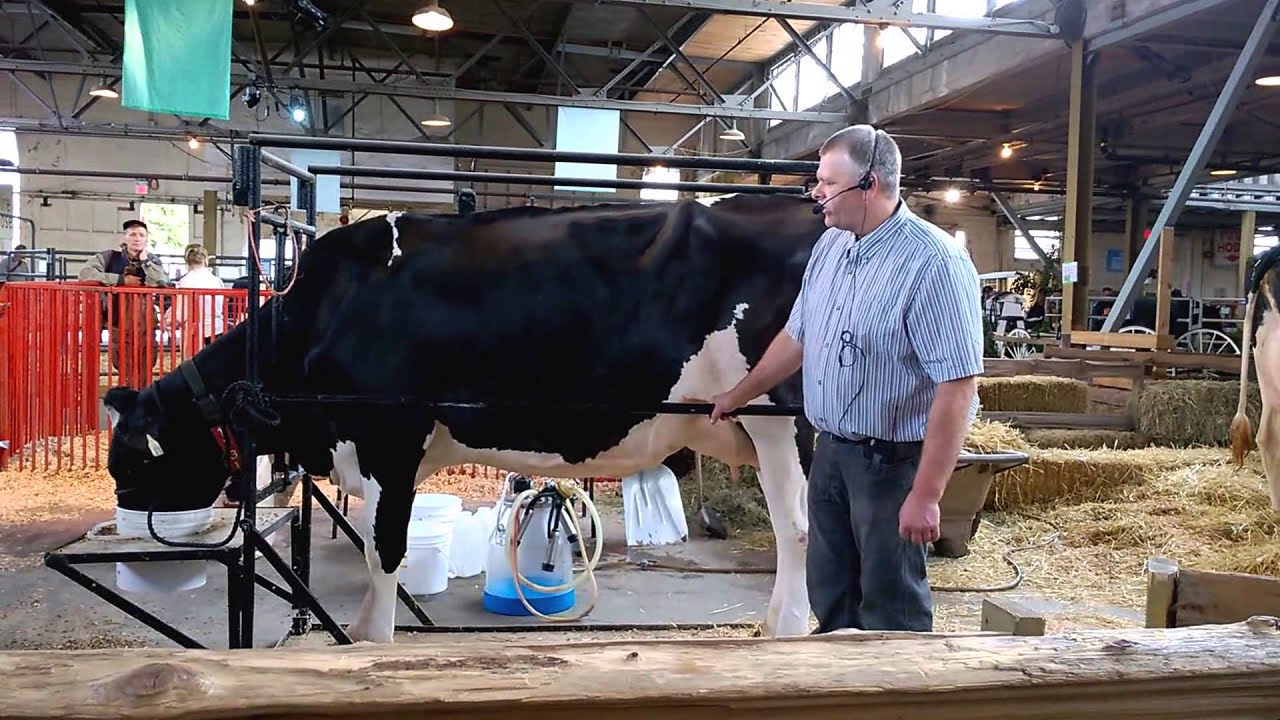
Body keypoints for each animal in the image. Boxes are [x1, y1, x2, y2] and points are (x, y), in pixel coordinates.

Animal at [101, 193, 826, 643]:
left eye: (131, 464)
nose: (130, 527)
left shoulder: (391, 436)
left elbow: (386, 549)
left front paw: (373, 640)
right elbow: (376, 549)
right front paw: (361, 630)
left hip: (782, 421)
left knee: (795, 529)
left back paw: (786, 629)